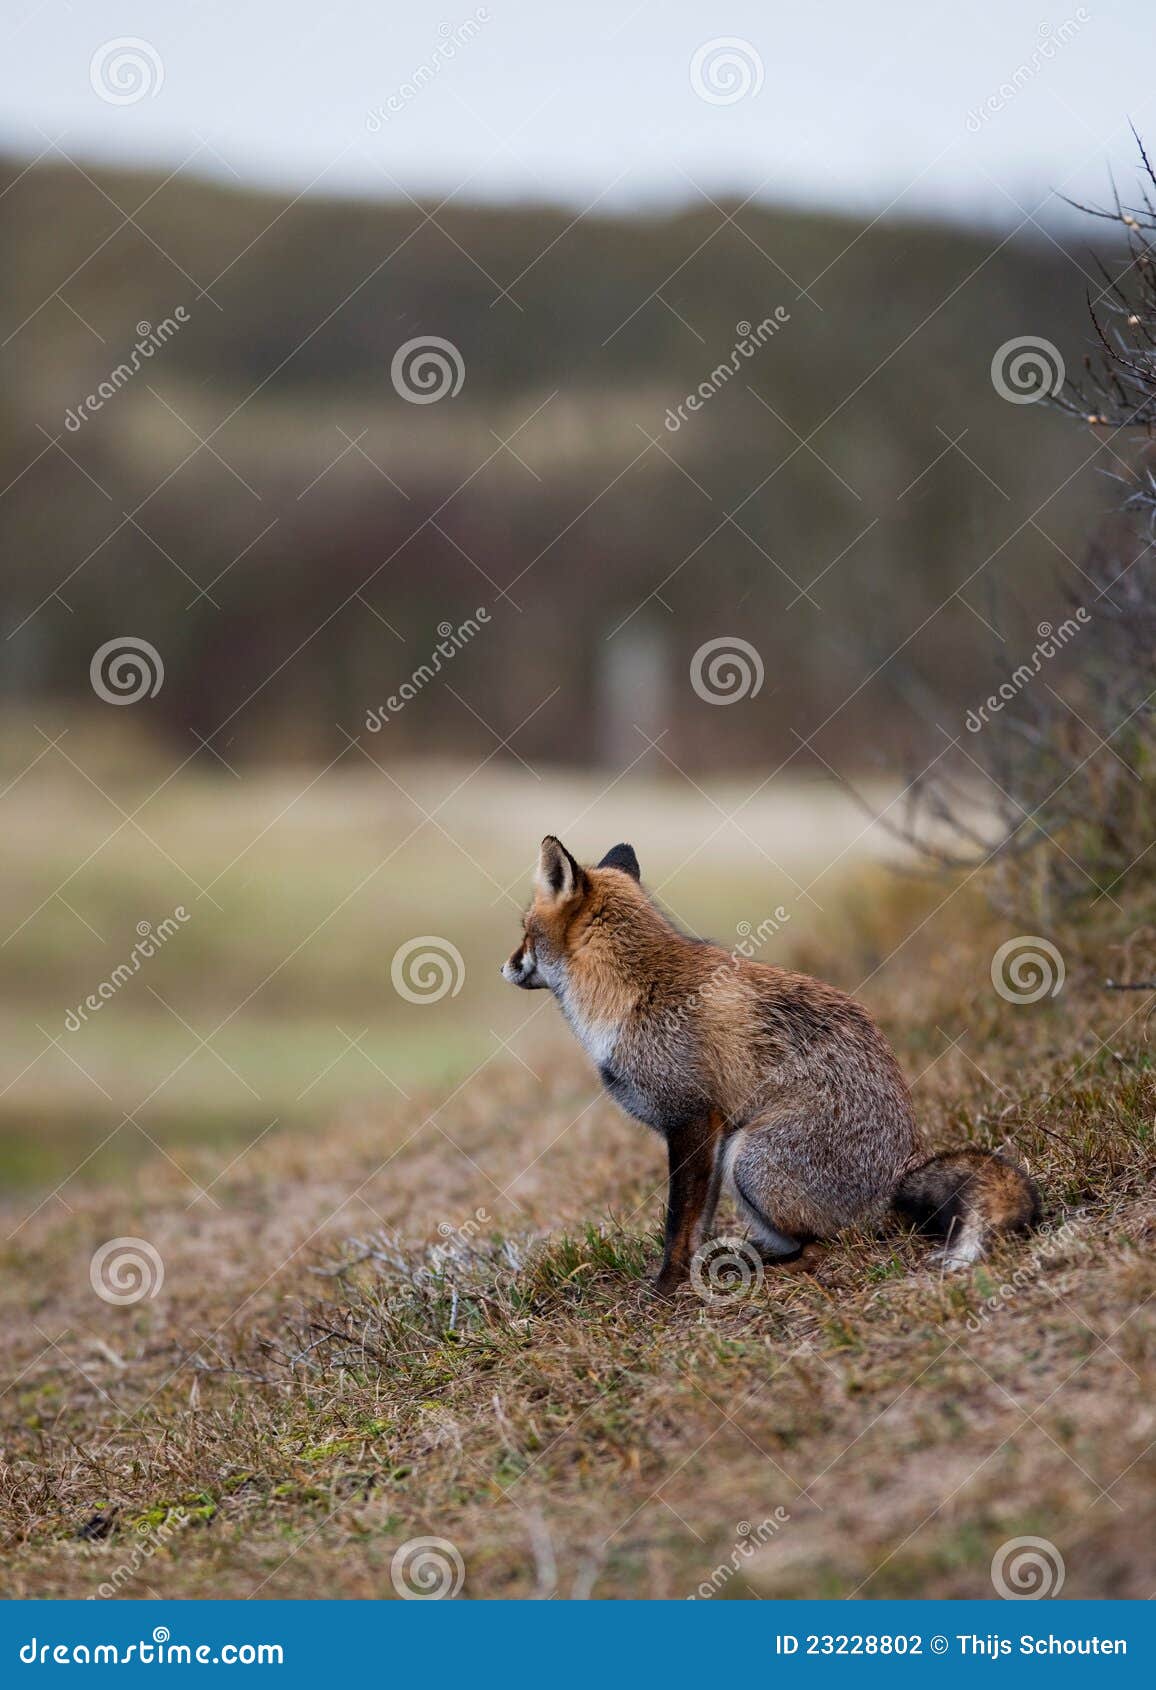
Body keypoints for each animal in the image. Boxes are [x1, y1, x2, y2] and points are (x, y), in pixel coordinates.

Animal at [502, 836, 1041, 1295]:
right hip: (738, 1152)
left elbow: (678, 1223)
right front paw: (689, 1273)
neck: (631, 994)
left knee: (829, 1247)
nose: (504, 966)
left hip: (750, 1155)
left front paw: (665, 1289)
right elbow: (698, 1221)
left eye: (525, 930)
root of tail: (896, 1177)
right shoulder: (709, 1132)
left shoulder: (692, 1119)